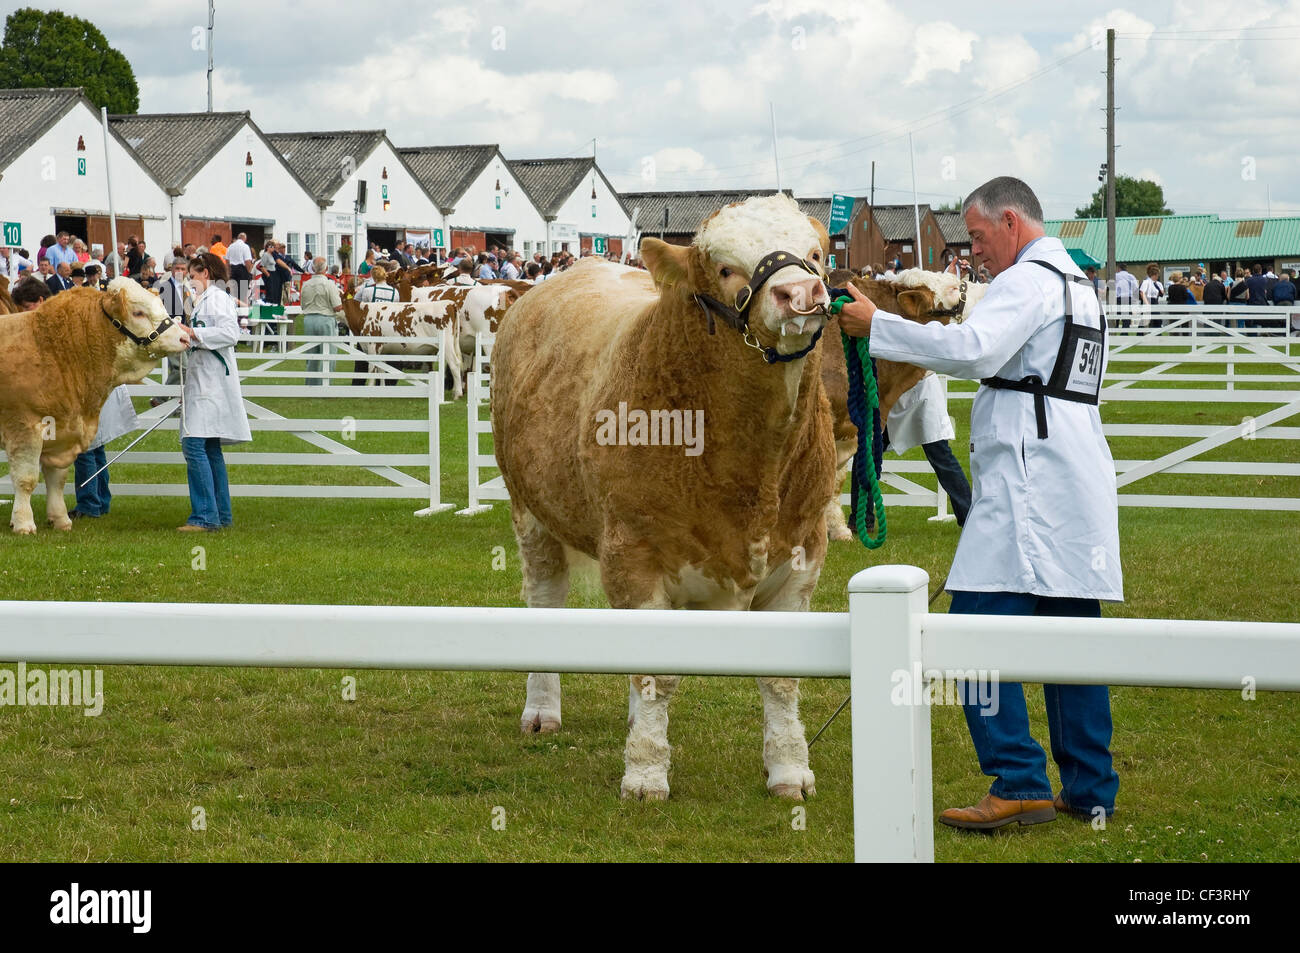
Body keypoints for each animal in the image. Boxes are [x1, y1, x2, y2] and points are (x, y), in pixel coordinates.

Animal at [0, 279, 191, 533]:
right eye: (138, 312)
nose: (184, 337)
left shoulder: (62, 433)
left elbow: (57, 480)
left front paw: (60, 519)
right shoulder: (23, 427)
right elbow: (26, 480)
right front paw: (23, 523)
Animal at [491, 193, 837, 801]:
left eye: (816, 253)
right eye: (724, 268)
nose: (801, 293)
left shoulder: (803, 552)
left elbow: (779, 675)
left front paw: (790, 771)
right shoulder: (635, 552)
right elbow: (657, 671)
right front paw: (646, 774)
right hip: (531, 512)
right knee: (545, 598)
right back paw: (542, 710)